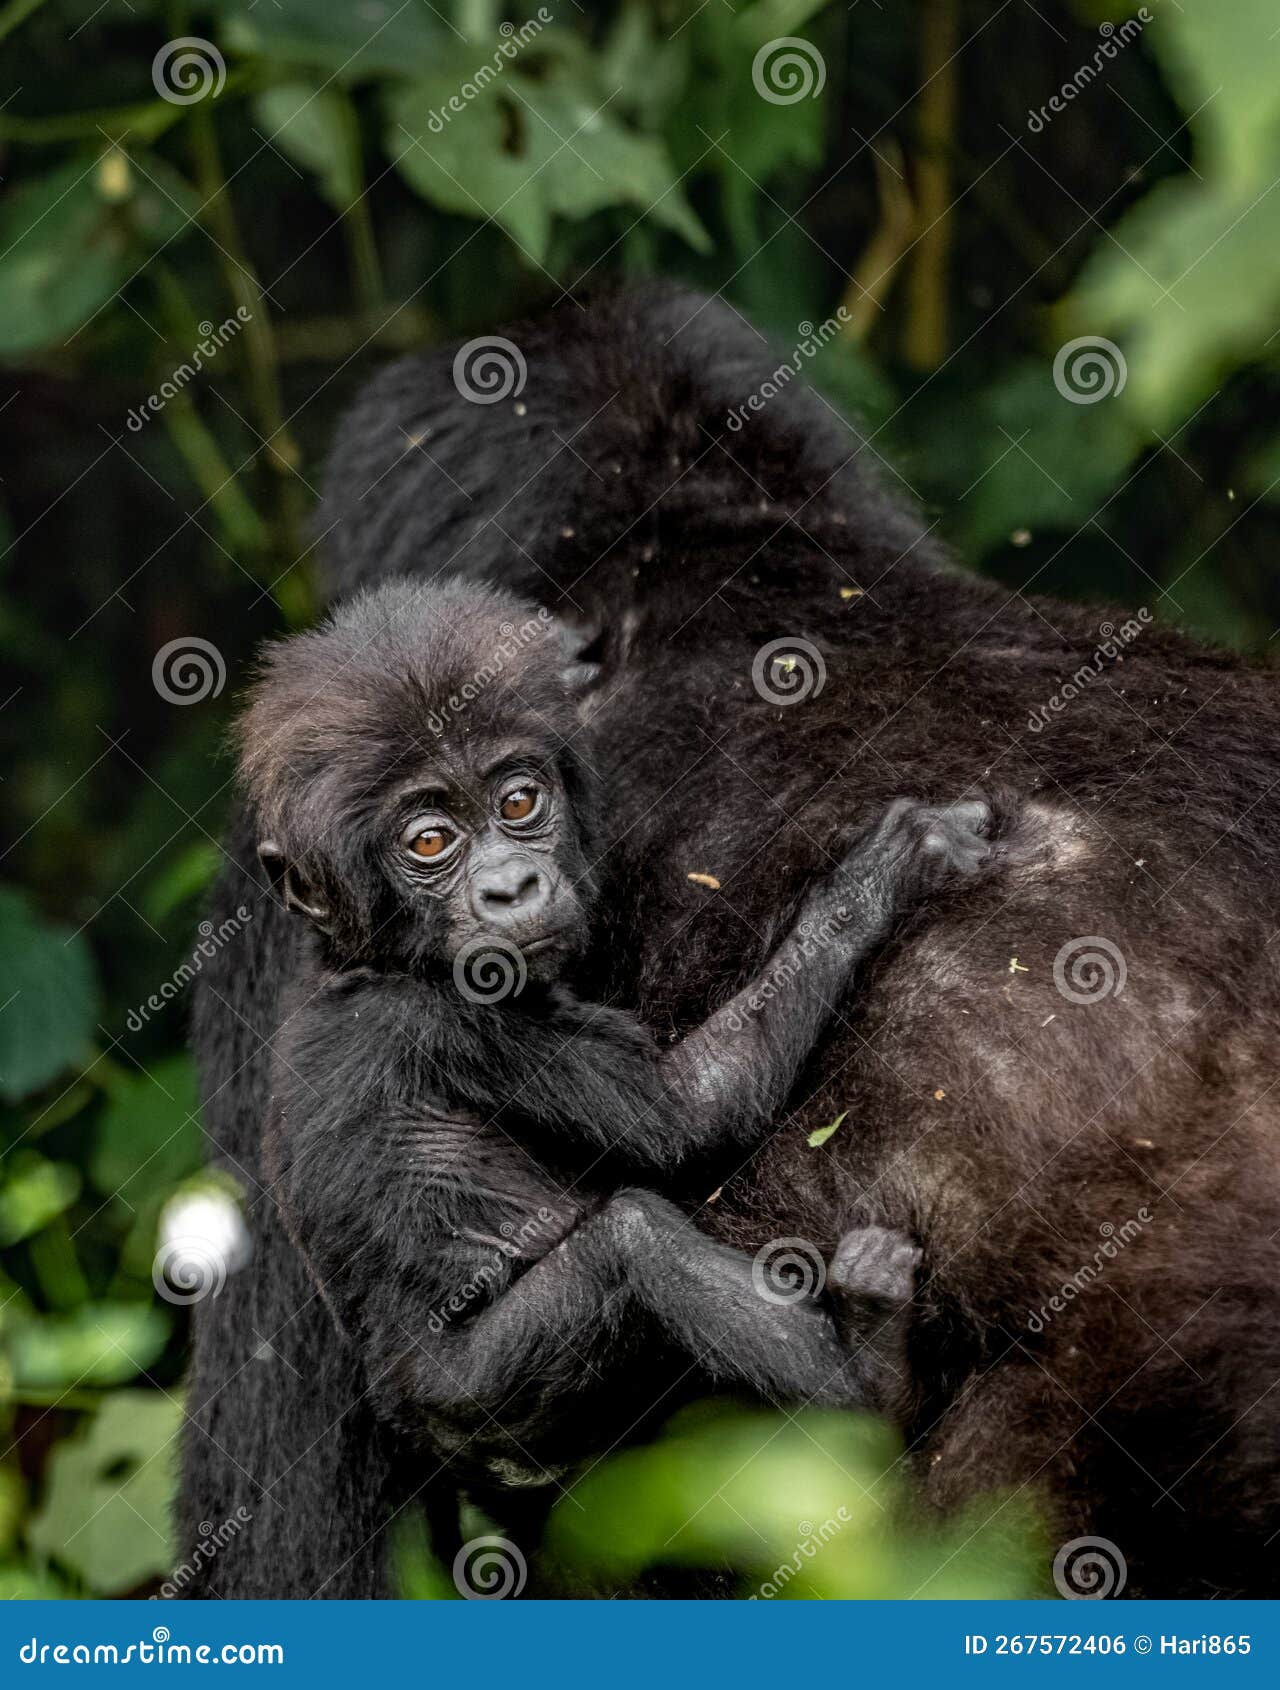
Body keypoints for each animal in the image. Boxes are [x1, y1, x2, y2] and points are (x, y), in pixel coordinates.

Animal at [235, 576, 998, 1484]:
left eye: (518, 801)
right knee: (629, 1245)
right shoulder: (454, 1019)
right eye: (428, 842)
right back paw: (872, 1381)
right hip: (481, 1400)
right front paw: (888, 869)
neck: (368, 959)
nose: (511, 885)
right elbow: (682, 1118)